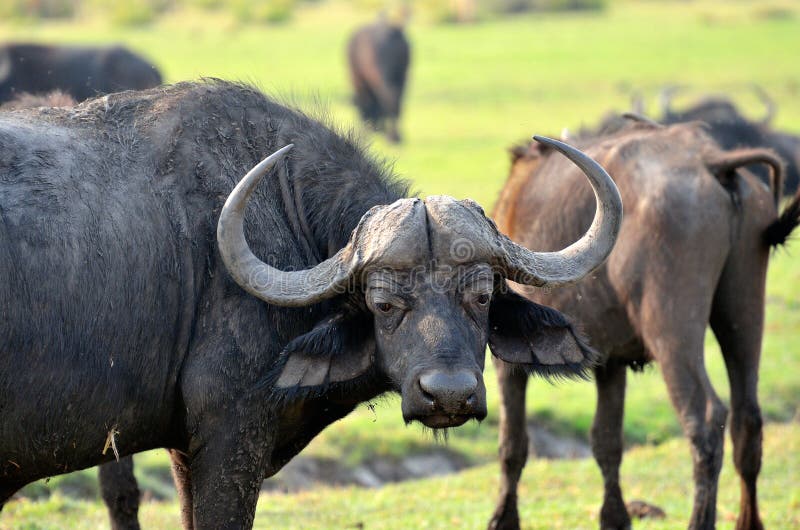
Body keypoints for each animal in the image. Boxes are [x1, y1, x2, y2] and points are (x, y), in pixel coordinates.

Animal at [488, 118, 800, 530]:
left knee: (706, 417)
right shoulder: (610, 362)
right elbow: (607, 441)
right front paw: (615, 517)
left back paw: (700, 520)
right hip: (744, 312)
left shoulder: (509, 361)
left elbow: (513, 444)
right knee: (747, 417)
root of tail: (711, 163)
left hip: (672, 332)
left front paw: (502, 518)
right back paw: (748, 521)